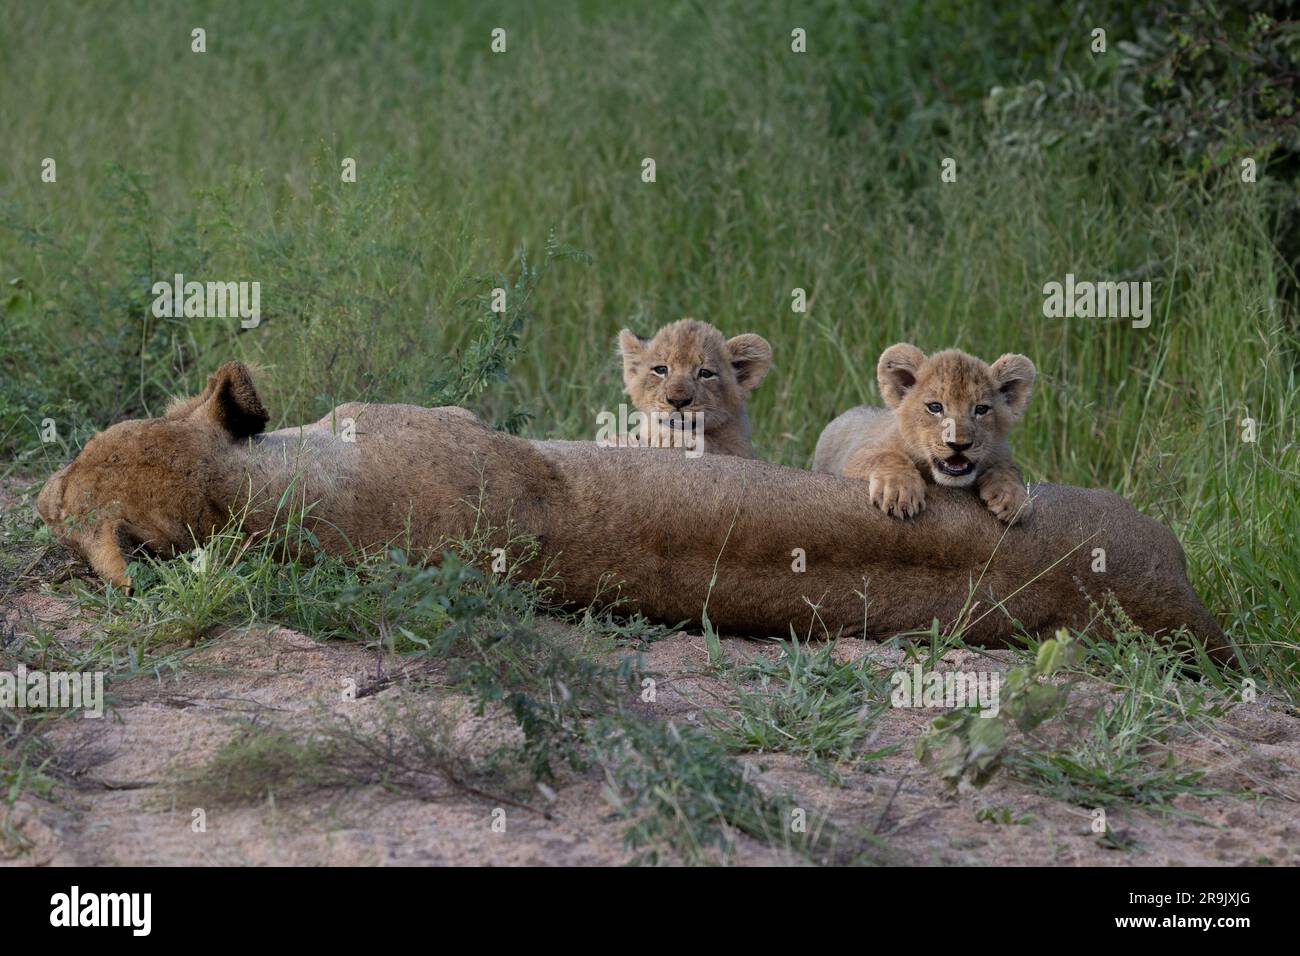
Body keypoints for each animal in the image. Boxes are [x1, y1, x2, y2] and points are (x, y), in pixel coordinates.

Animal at [614, 318, 772, 458]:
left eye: (705, 373)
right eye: (661, 370)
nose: (678, 401)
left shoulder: (741, 450)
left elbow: (711, 444)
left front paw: (671, 438)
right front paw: (622, 438)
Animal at [815, 344, 1036, 525]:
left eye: (981, 409)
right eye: (935, 407)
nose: (959, 445)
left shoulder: (1001, 452)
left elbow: (1008, 467)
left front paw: (1013, 498)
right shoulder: (855, 456)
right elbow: (886, 455)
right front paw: (899, 492)